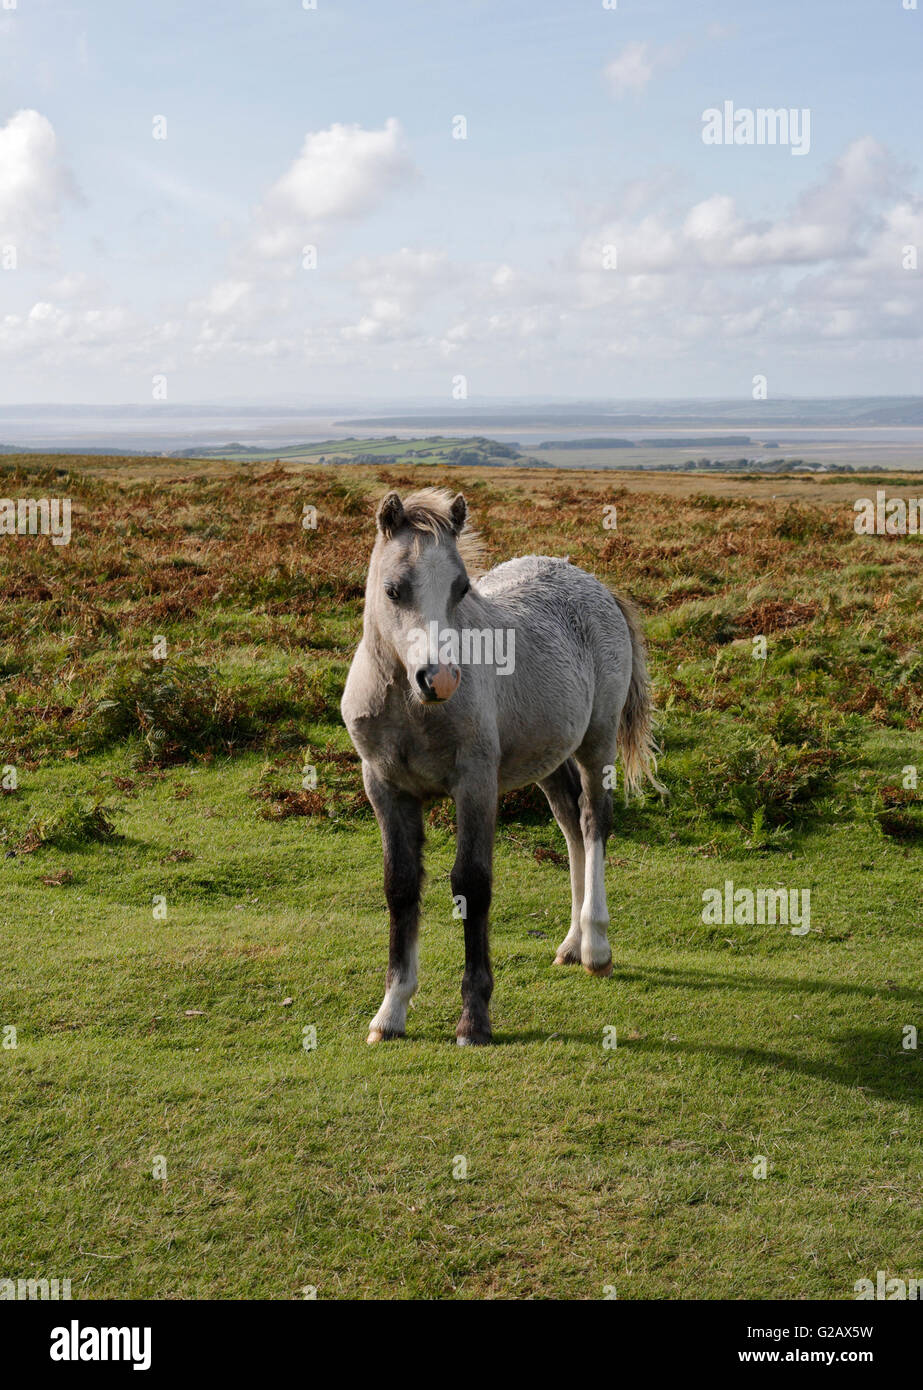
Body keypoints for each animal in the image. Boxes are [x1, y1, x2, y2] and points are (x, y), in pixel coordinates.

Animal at [341, 487, 662, 1045]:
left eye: (461, 588)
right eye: (393, 589)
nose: (439, 679)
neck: (410, 708)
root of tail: (596, 585)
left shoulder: (475, 784)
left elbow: (472, 883)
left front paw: (474, 1019)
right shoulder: (384, 787)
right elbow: (400, 886)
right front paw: (391, 1012)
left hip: (596, 743)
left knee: (594, 822)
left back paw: (596, 949)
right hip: (548, 758)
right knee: (571, 825)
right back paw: (571, 944)